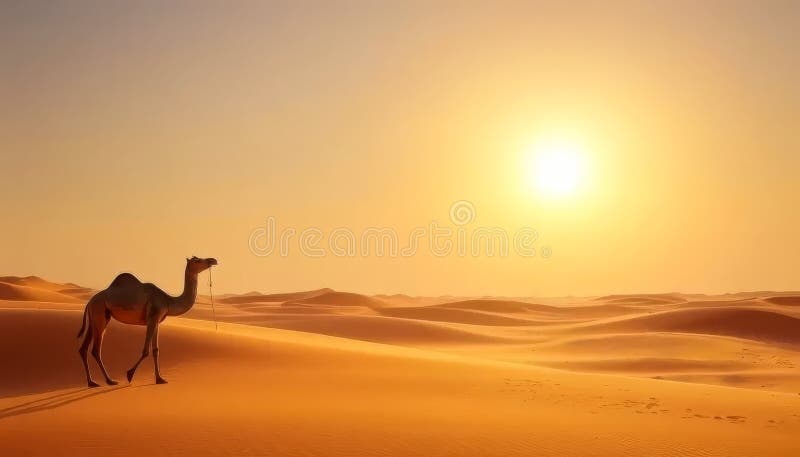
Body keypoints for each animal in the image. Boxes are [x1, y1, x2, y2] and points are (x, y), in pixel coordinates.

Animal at [77, 256, 218, 387]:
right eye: (198, 260)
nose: (213, 260)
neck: (168, 301)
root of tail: (89, 302)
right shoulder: (152, 317)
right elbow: (145, 350)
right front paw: (129, 375)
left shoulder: (156, 321)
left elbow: (156, 350)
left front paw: (160, 379)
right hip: (100, 314)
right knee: (95, 350)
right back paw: (109, 380)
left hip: (95, 319)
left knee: (83, 348)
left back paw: (92, 382)